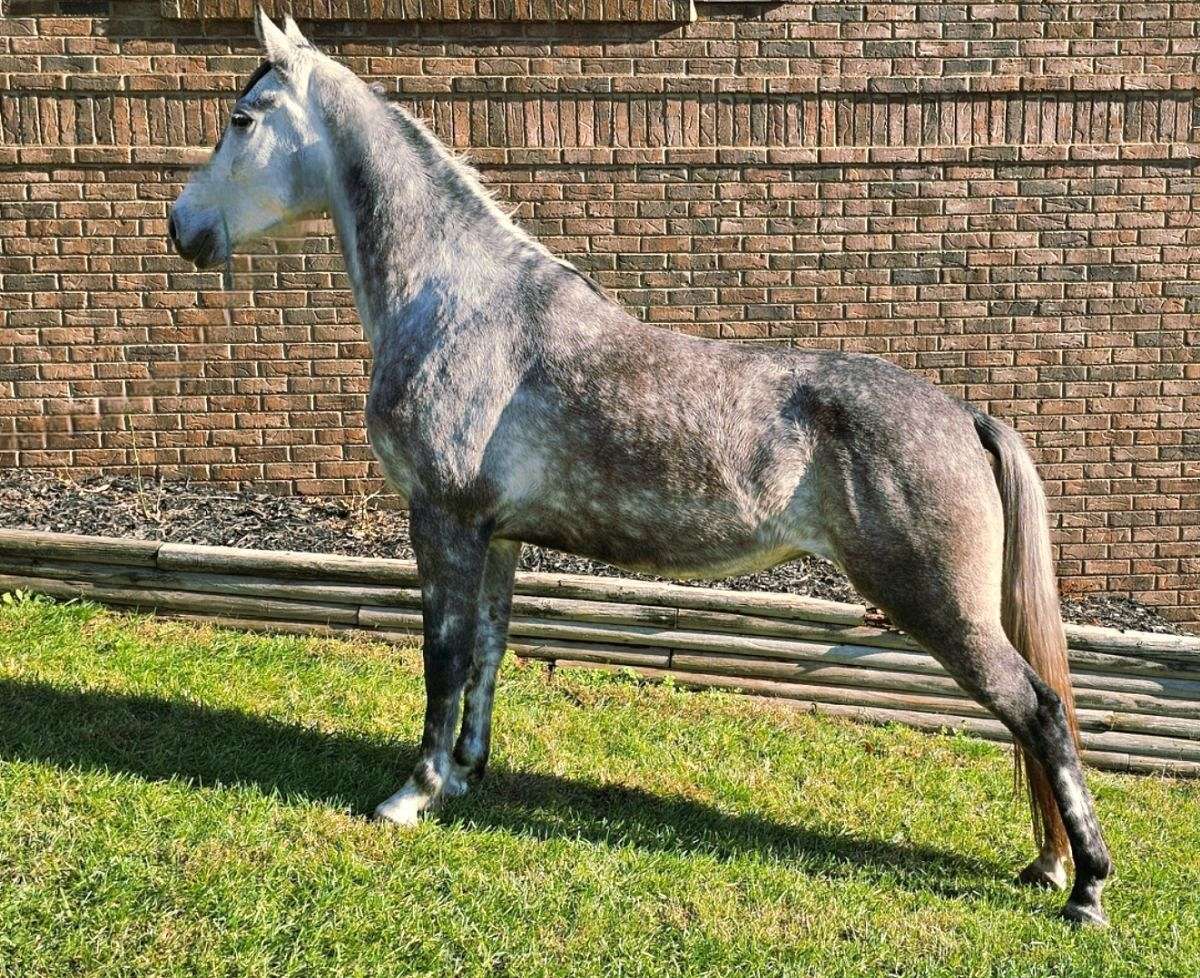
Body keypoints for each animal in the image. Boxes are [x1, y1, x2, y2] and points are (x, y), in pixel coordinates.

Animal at [168, 10, 1112, 926]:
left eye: (243, 118)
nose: (182, 227)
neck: (460, 303)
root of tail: (966, 418)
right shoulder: (498, 536)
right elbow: (488, 650)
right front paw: (467, 775)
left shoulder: (441, 520)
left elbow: (442, 653)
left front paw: (413, 794)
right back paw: (1048, 865)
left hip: (940, 606)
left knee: (1040, 711)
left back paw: (1086, 888)